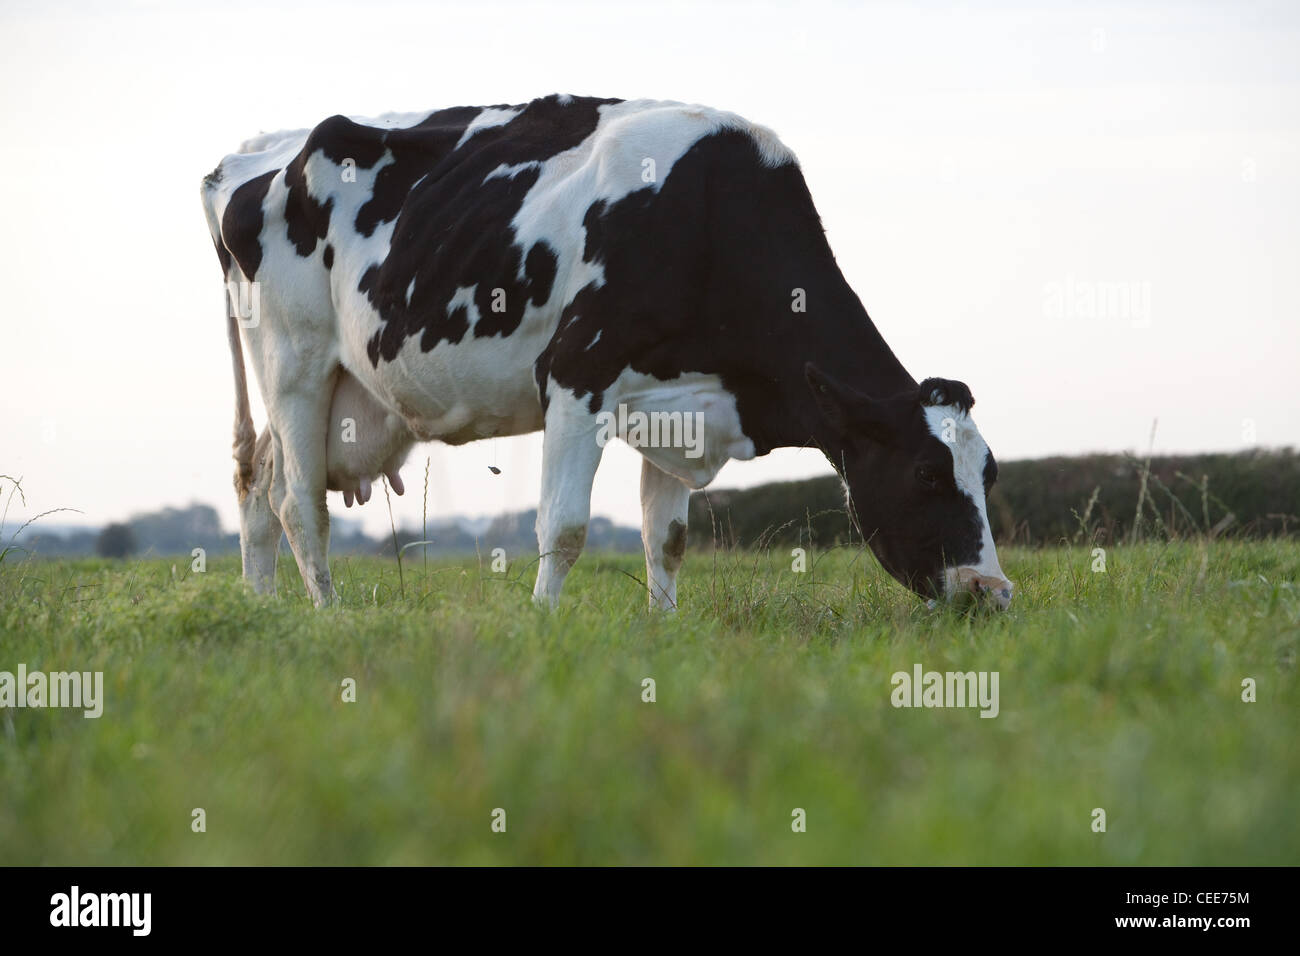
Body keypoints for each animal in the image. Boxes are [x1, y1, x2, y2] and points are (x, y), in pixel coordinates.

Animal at [200, 94, 1013, 611]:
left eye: (989, 476)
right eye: (924, 473)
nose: (993, 592)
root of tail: (253, 153)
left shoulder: (685, 406)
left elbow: (670, 538)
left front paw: (663, 628)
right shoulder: (574, 376)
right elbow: (561, 527)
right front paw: (543, 625)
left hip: (334, 390)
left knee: (260, 483)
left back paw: (263, 609)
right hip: (296, 361)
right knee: (299, 503)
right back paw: (327, 616)